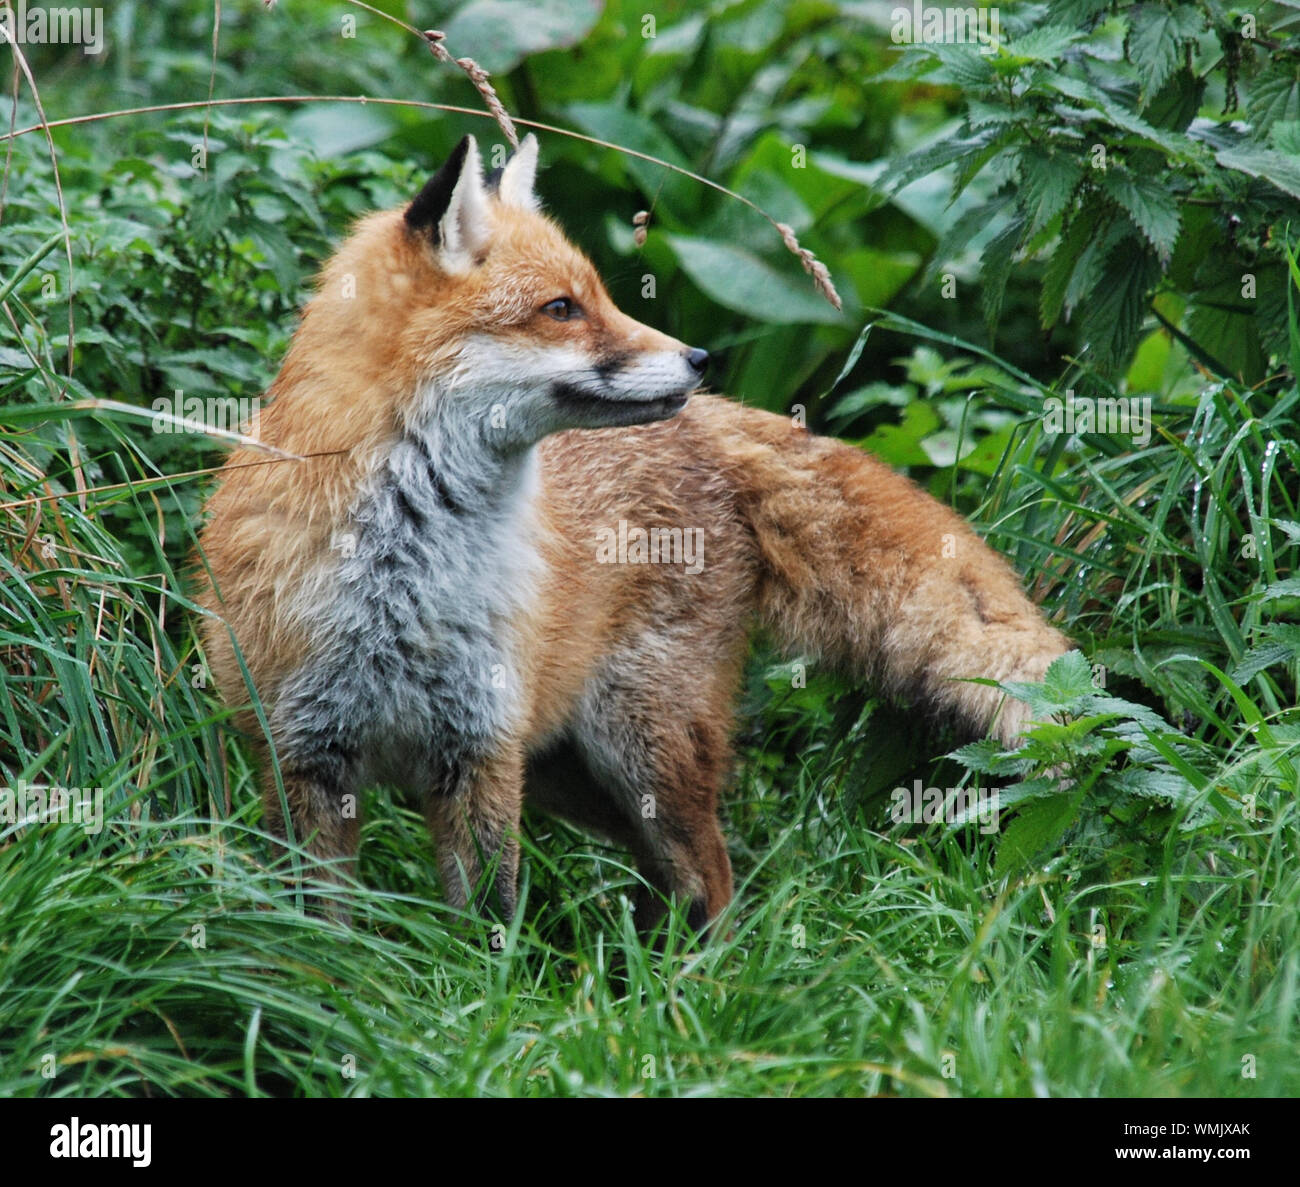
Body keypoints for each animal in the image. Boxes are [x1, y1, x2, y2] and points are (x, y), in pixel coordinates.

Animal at [198, 132, 1070, 931]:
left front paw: (488, 992)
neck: (401, 572)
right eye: (561, 308)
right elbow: (315, 929)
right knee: (672, 879)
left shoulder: (479, 750)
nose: (700, 357)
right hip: (576, 773)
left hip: (641, 747)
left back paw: (700, 985)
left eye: (602, 296)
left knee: (712, 874)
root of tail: (712, 427)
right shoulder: (305, 755)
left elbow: (489, 922)